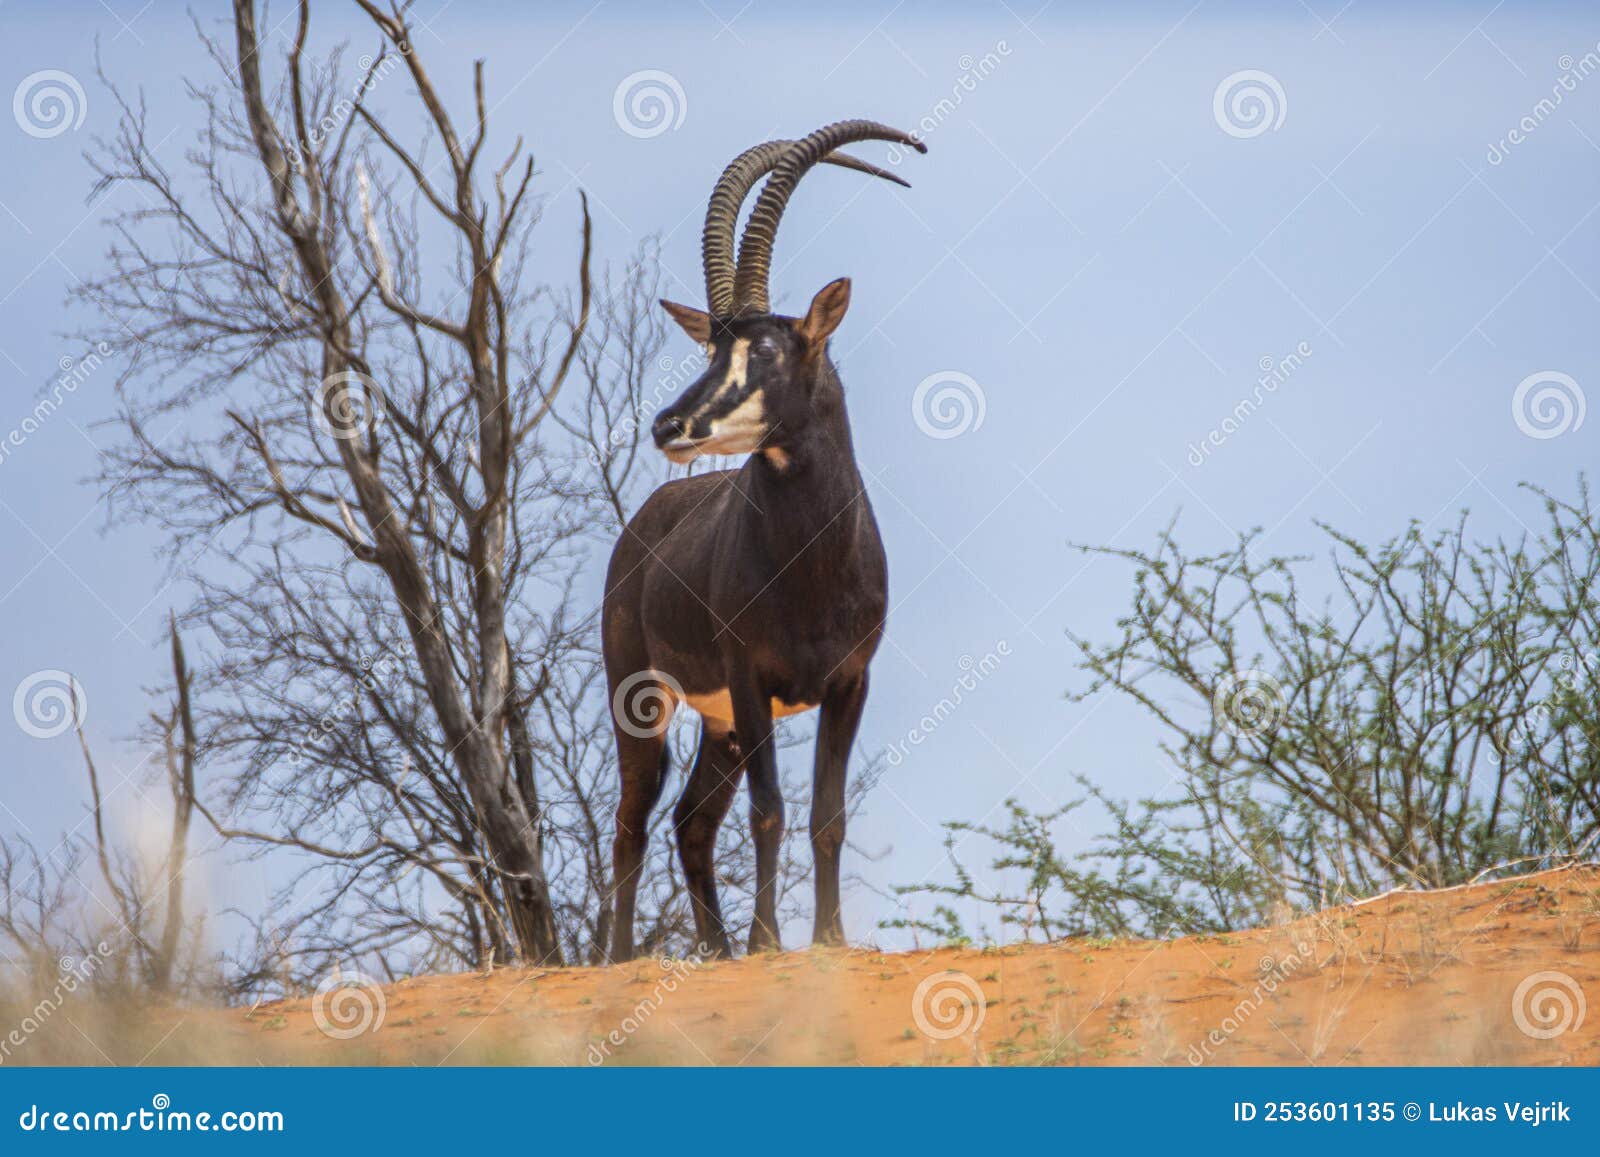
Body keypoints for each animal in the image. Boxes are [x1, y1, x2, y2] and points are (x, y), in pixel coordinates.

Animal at [603, 120, 925, 960]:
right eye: (713, 349)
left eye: (771, 350)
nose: (670, 425)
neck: (811, 563)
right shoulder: (751, 680)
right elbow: (772, 808)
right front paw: (766, 943)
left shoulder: (849, 682)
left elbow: (826, 815)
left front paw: (829, 938)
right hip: (644, 701)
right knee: (632, 819)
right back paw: (618, 957)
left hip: (717, 727)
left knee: (690, 821)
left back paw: (712, 951)